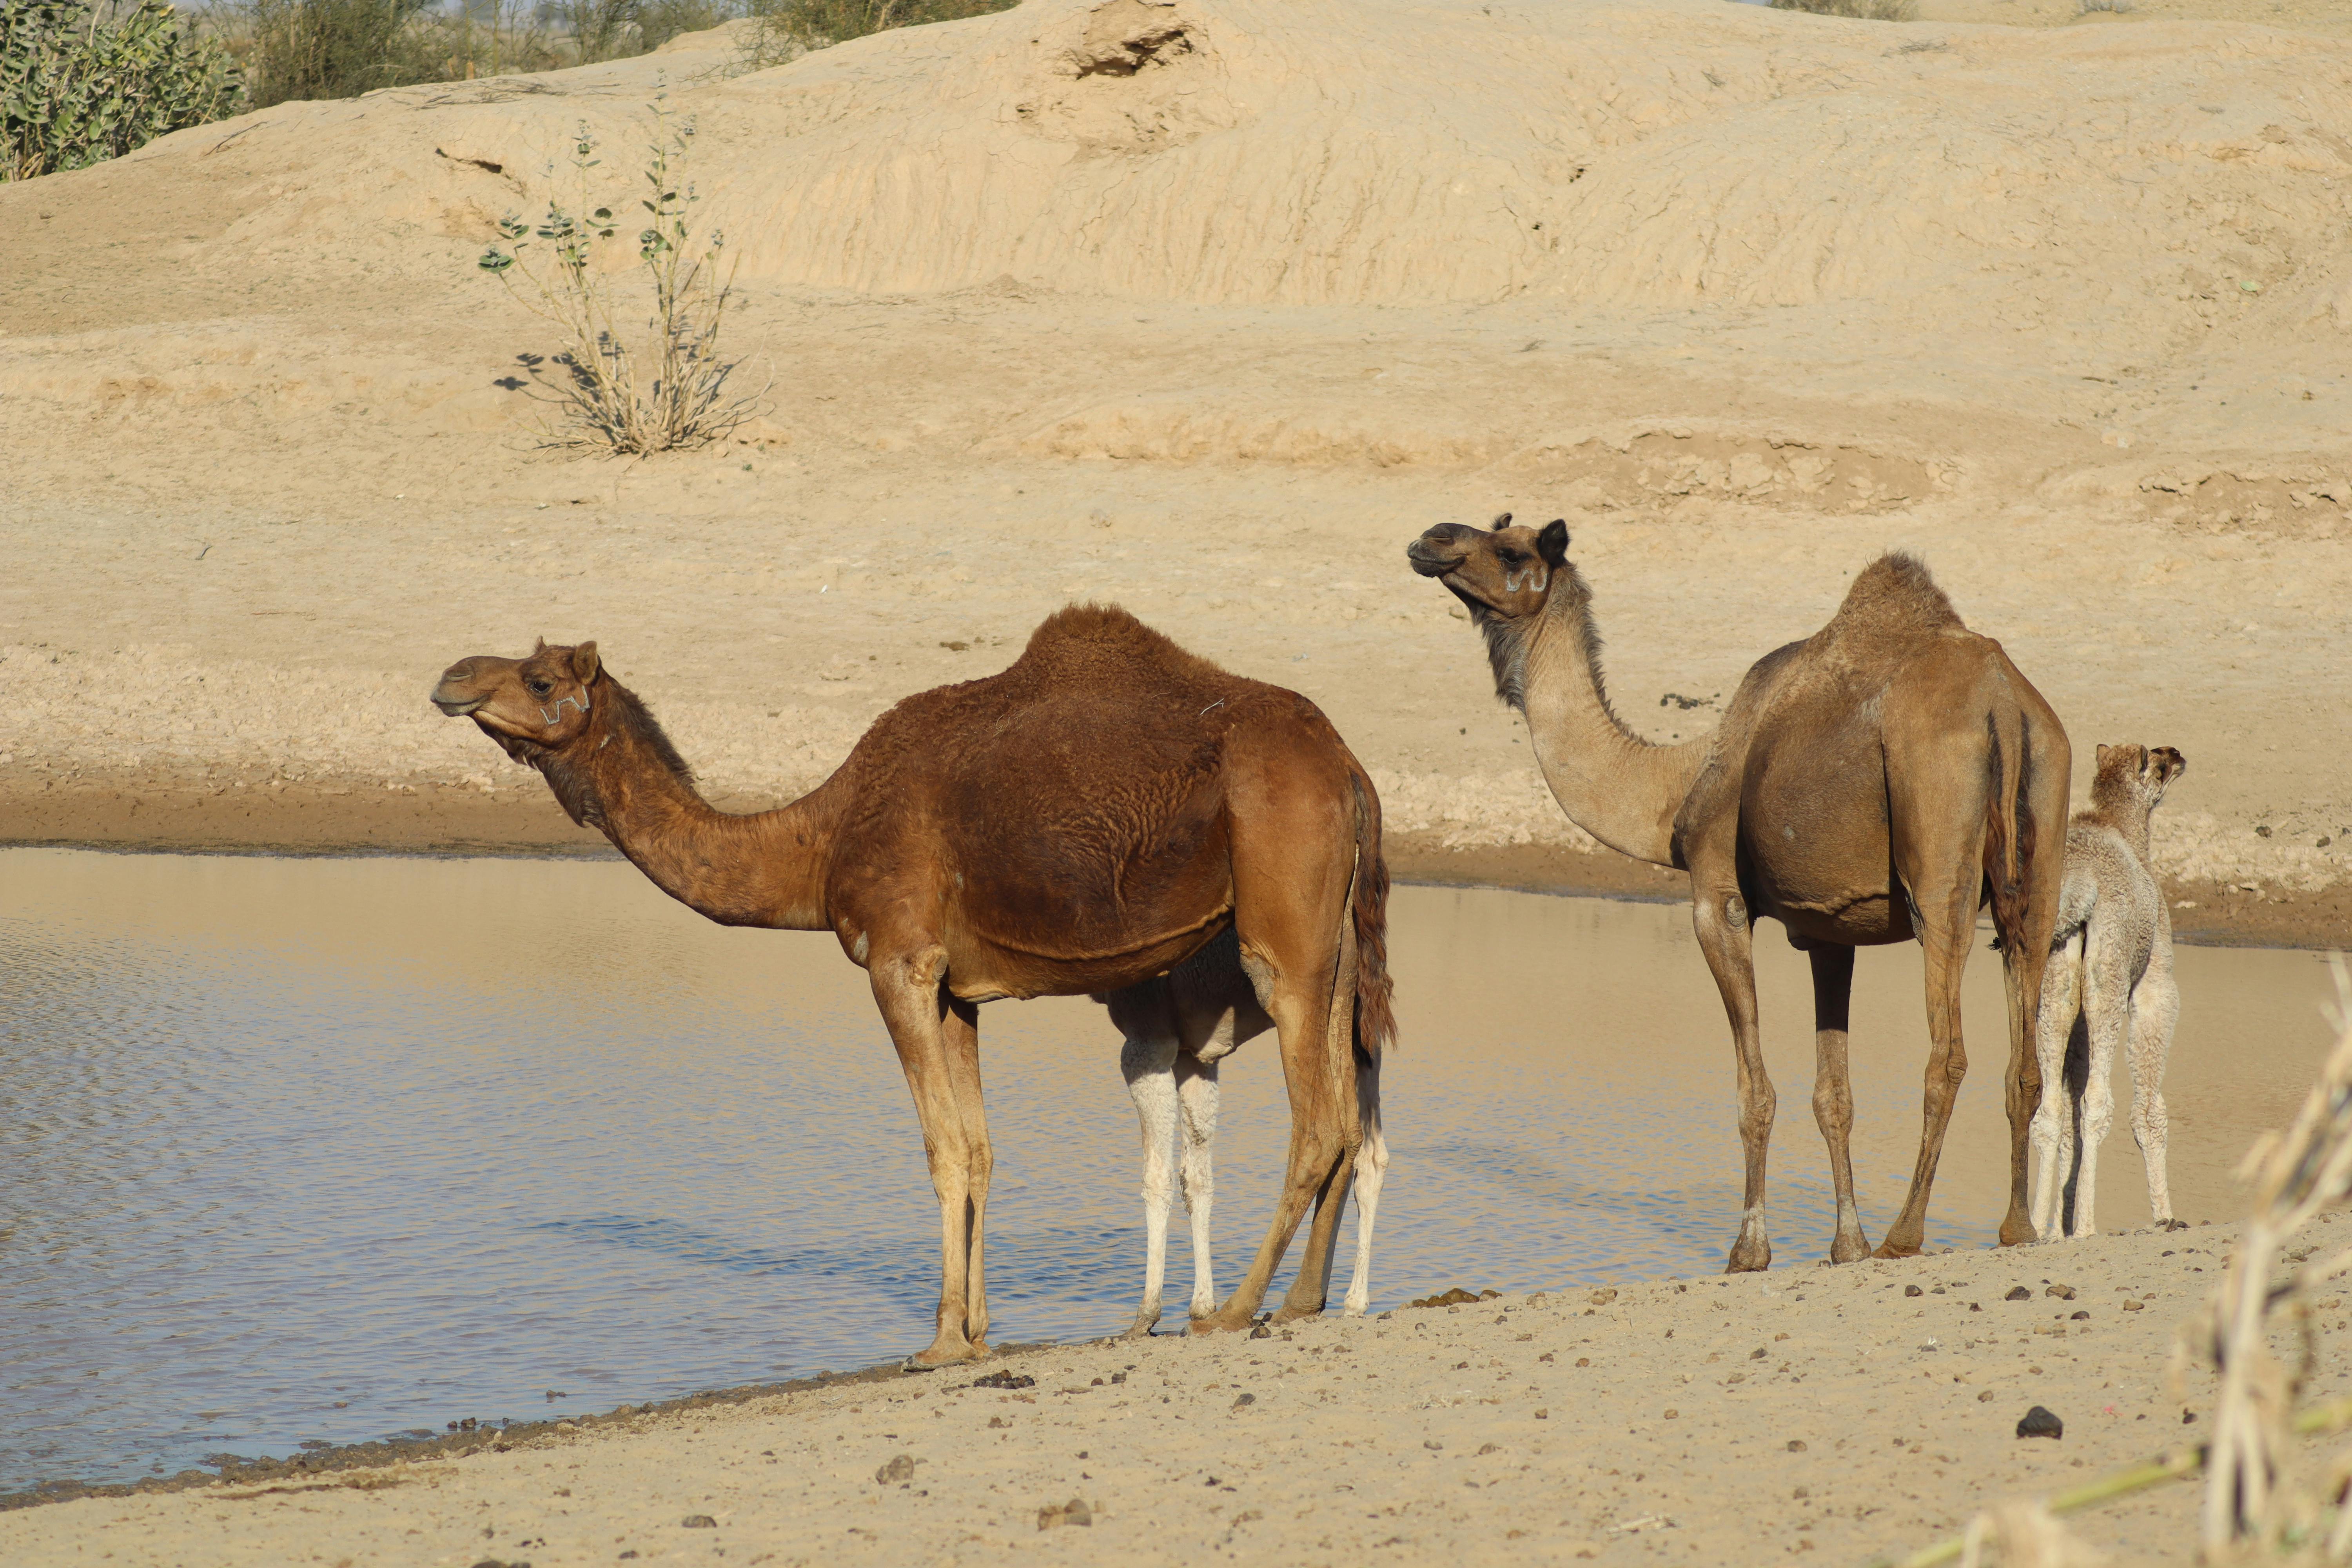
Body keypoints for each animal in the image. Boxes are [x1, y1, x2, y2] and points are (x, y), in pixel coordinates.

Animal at [1103, 927, 1389, 1334]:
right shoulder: (1196, 1056)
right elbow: (1197, 1179)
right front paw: (1202, 1305)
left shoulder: (1148, 1040)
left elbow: (1157, 1179)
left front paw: (1146, 1316)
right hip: (1364, 1033)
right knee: (1369, 1154)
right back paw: (1352, 1301)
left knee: (1338, 1139)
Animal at [1407, 516, 2070, 1268]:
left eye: (1511, 550)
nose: (1433, 537)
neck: (1679, 781)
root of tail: (2003, 706)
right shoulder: (1828, 928)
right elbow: (1833, 1095)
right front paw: (1845, 1244)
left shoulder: (1716, 899)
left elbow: (1755, 1090)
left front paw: (1750, 1249)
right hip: (2043, 842)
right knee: (2025, 1056)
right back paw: (2015, 1228)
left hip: (1937, 853)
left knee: (1949, 1052)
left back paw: (1905, 1235)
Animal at [2029, 744, 2187, 1240]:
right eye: (2158, 761)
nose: (2179, 756)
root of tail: (2079, 891)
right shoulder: (2157, 980)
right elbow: (2149, 1110)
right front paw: (2165, 1215)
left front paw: (2054, 1224)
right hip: (2110, 974)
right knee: (2098, 1102)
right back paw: (2085, 1227)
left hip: (2055, 978)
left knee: (2050, 1108)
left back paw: (2039, 1227)